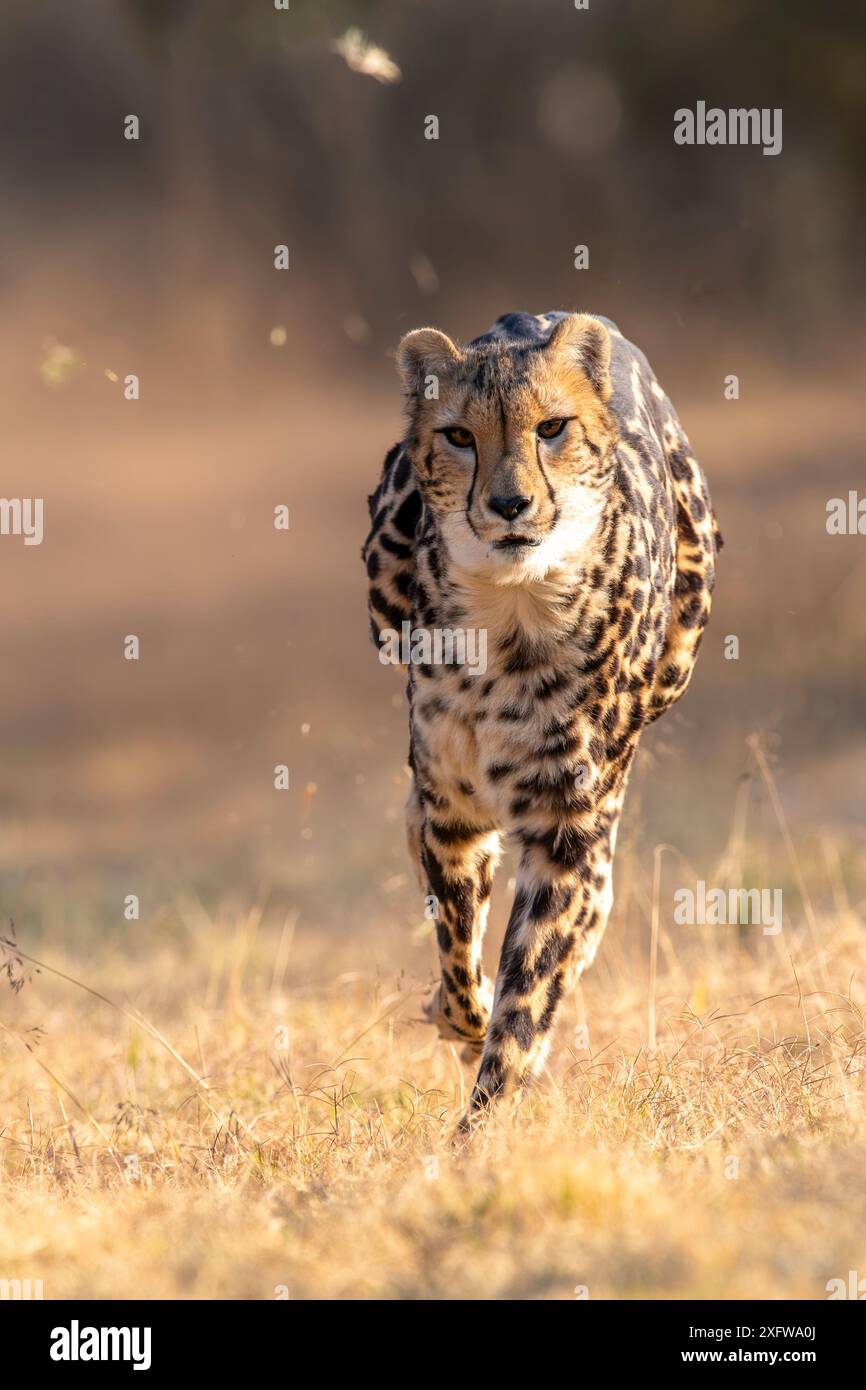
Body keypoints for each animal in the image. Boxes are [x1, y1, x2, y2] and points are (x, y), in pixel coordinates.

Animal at [362, 309, 721, 1128]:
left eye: (551, 428)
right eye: (460, 436)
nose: (509, 506)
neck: (516, 610)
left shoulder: (568, 833)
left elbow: (527, 998)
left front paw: (482, 1127)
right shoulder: (453, 812)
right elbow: (461, 956)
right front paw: (458, 1022)